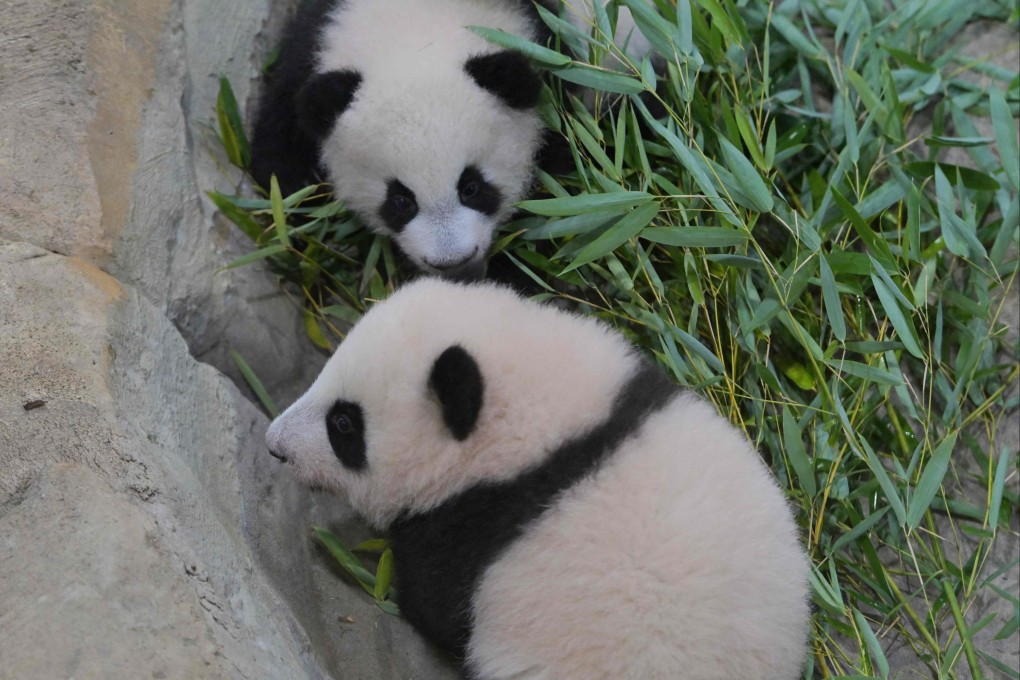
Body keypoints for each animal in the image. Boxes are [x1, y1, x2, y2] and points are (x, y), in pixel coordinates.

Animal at [250, 0, 649, 281]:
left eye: (471, 187)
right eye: (400, 200)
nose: (453, 262)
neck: (410, 34)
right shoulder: (312, 48)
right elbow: (281, 166)